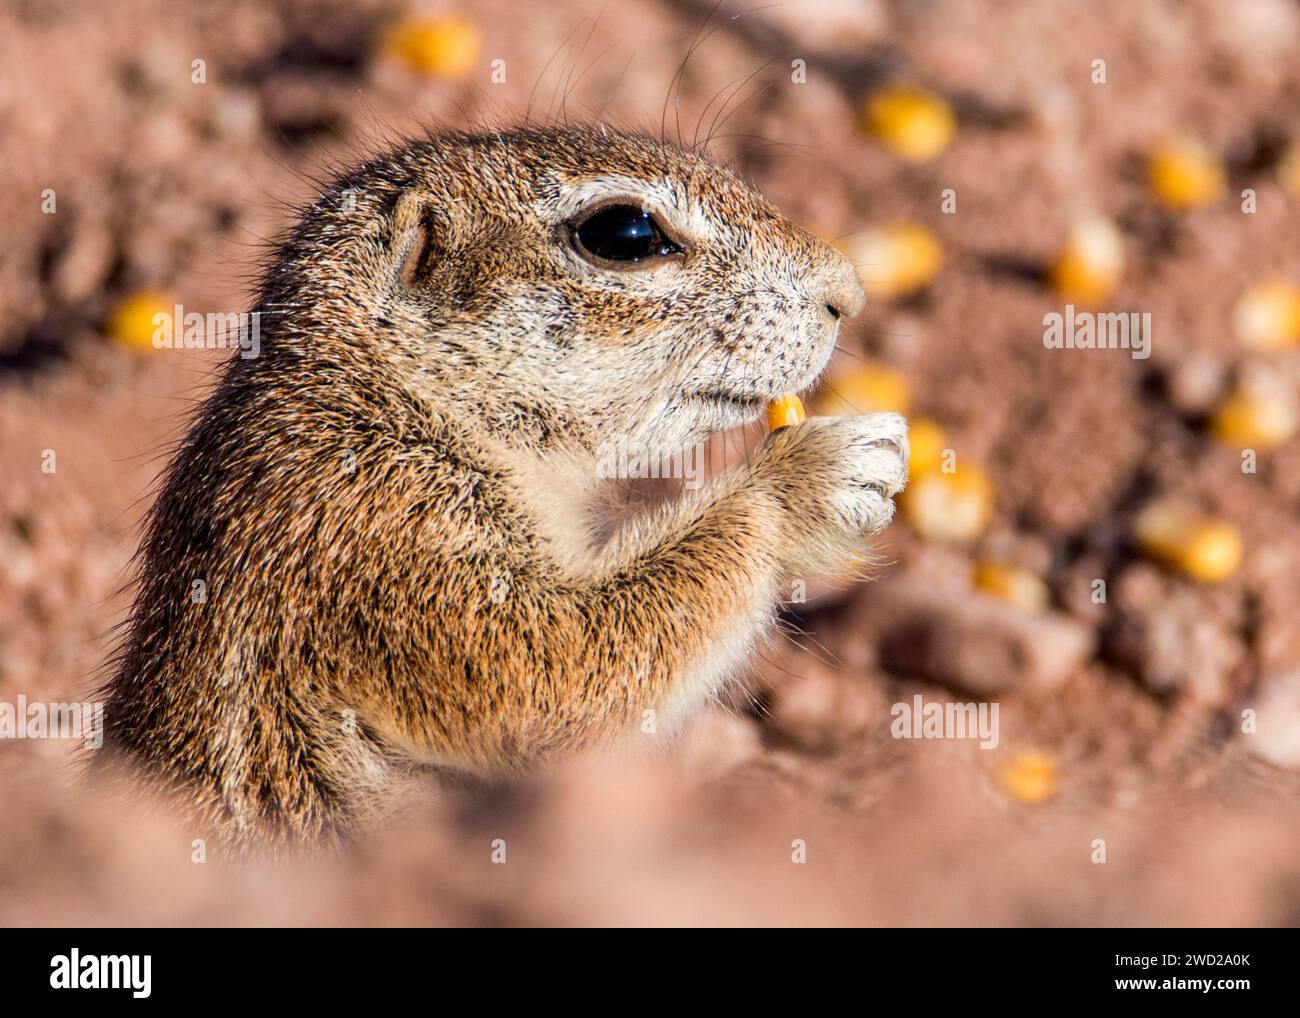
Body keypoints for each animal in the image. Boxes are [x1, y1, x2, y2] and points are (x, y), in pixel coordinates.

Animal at [93, 126, 908, 852]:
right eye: (626, 234)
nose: (848, 292)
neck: (390, 397)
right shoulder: (380, 533)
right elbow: (546, 674)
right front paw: (814, 475)